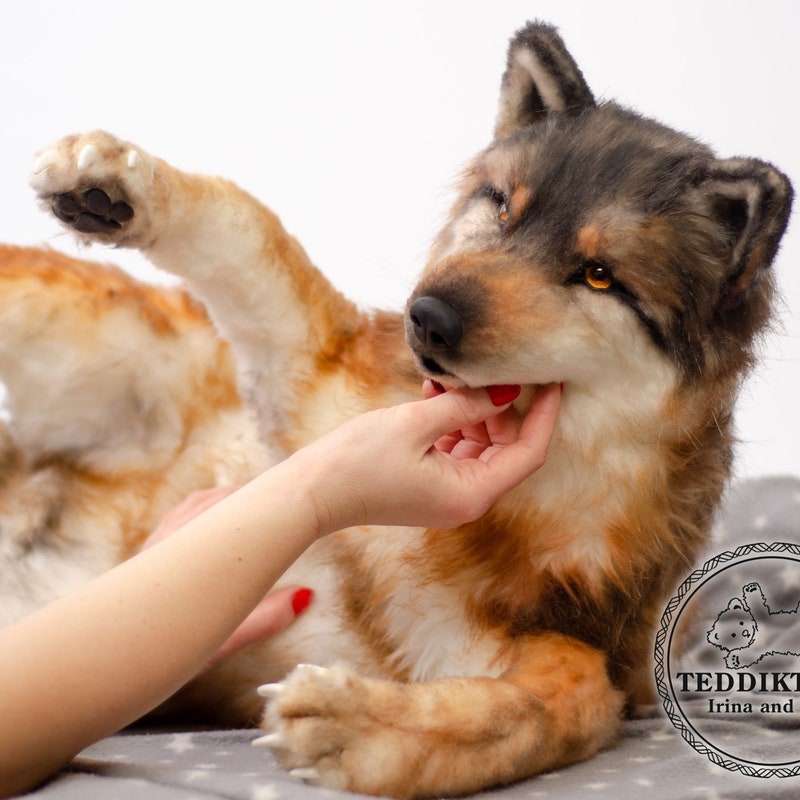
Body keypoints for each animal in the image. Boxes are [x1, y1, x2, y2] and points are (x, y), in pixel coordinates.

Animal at [2, 20, 792, 798]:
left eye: (599, 276)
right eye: (501, 204)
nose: (427, 318)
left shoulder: (570, 652)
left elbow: (566, 699)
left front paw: (360, 726)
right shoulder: (304, 368)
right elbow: (247, 221)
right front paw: (115, 180)